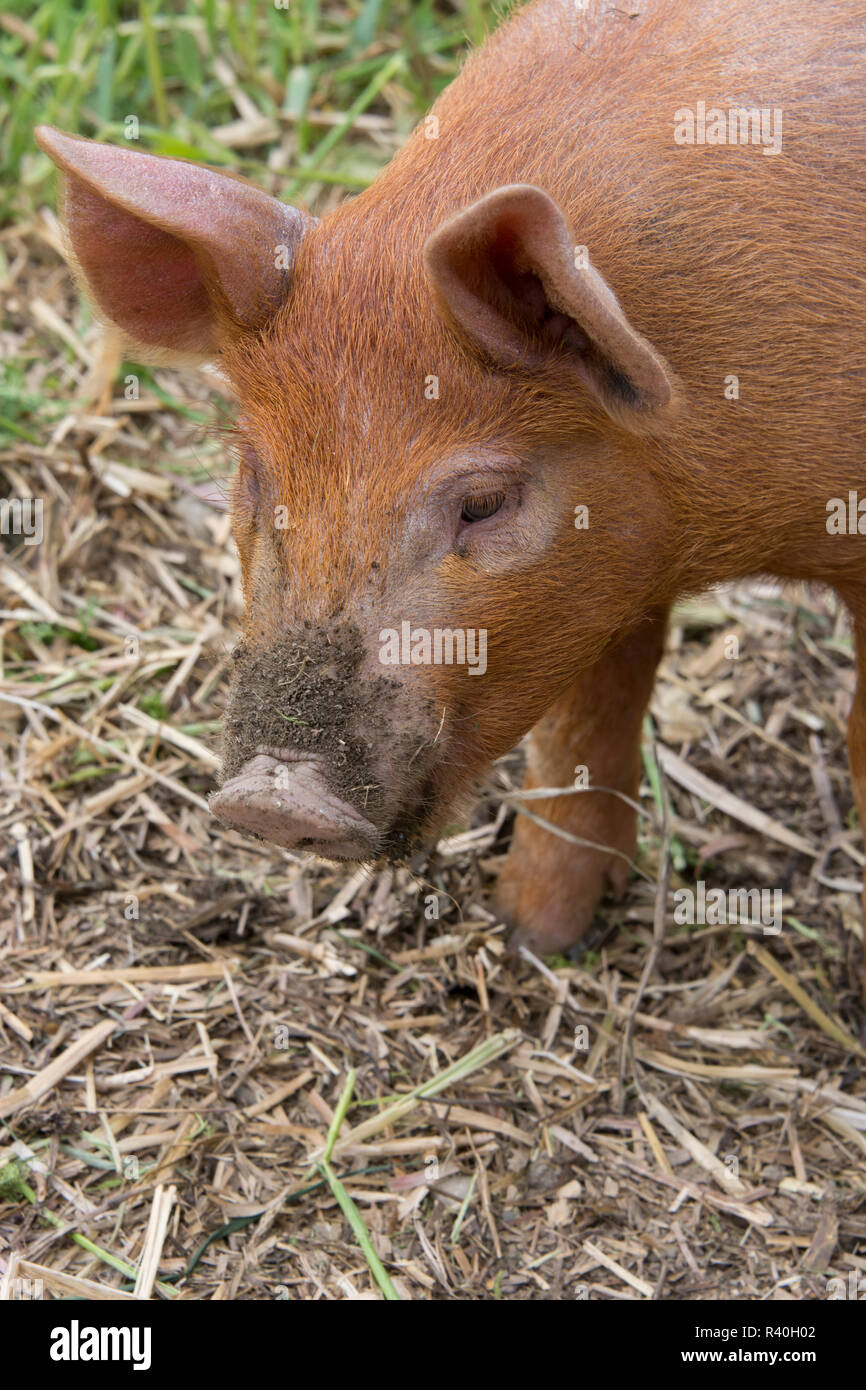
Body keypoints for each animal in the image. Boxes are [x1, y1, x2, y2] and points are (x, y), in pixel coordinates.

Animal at [36, 0, 866, 990]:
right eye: (253, 476)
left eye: (481, 504)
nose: (272, 796)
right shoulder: (613, 564)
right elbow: (588, 719)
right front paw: (530, 937)